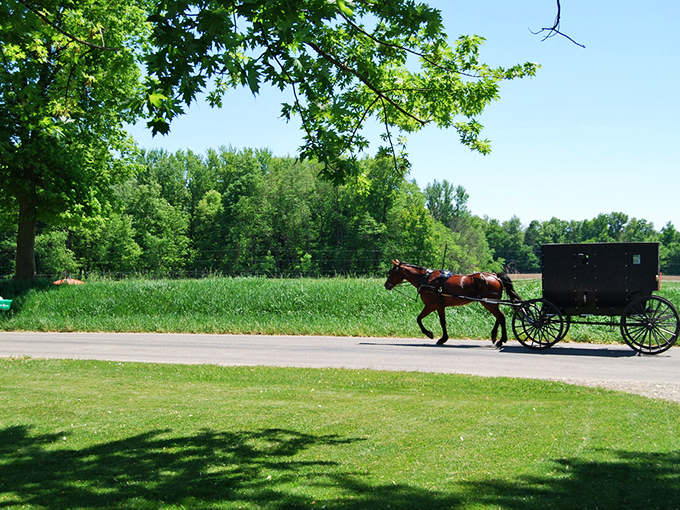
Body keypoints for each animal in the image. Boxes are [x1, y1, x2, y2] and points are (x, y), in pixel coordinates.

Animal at [384, 260, 522, 346]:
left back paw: (501, 340)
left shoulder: (431, 305)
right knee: (499, 316)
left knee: (501, 317)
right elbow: (443, 322)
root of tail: (494, 275)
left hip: (489, 303)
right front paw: (443, 338)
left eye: (391, 272)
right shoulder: (440, 305)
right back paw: (494, 336)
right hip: (490, 302)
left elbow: (419, 319)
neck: (426, 279)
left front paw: (429, 334)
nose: (386, 285)